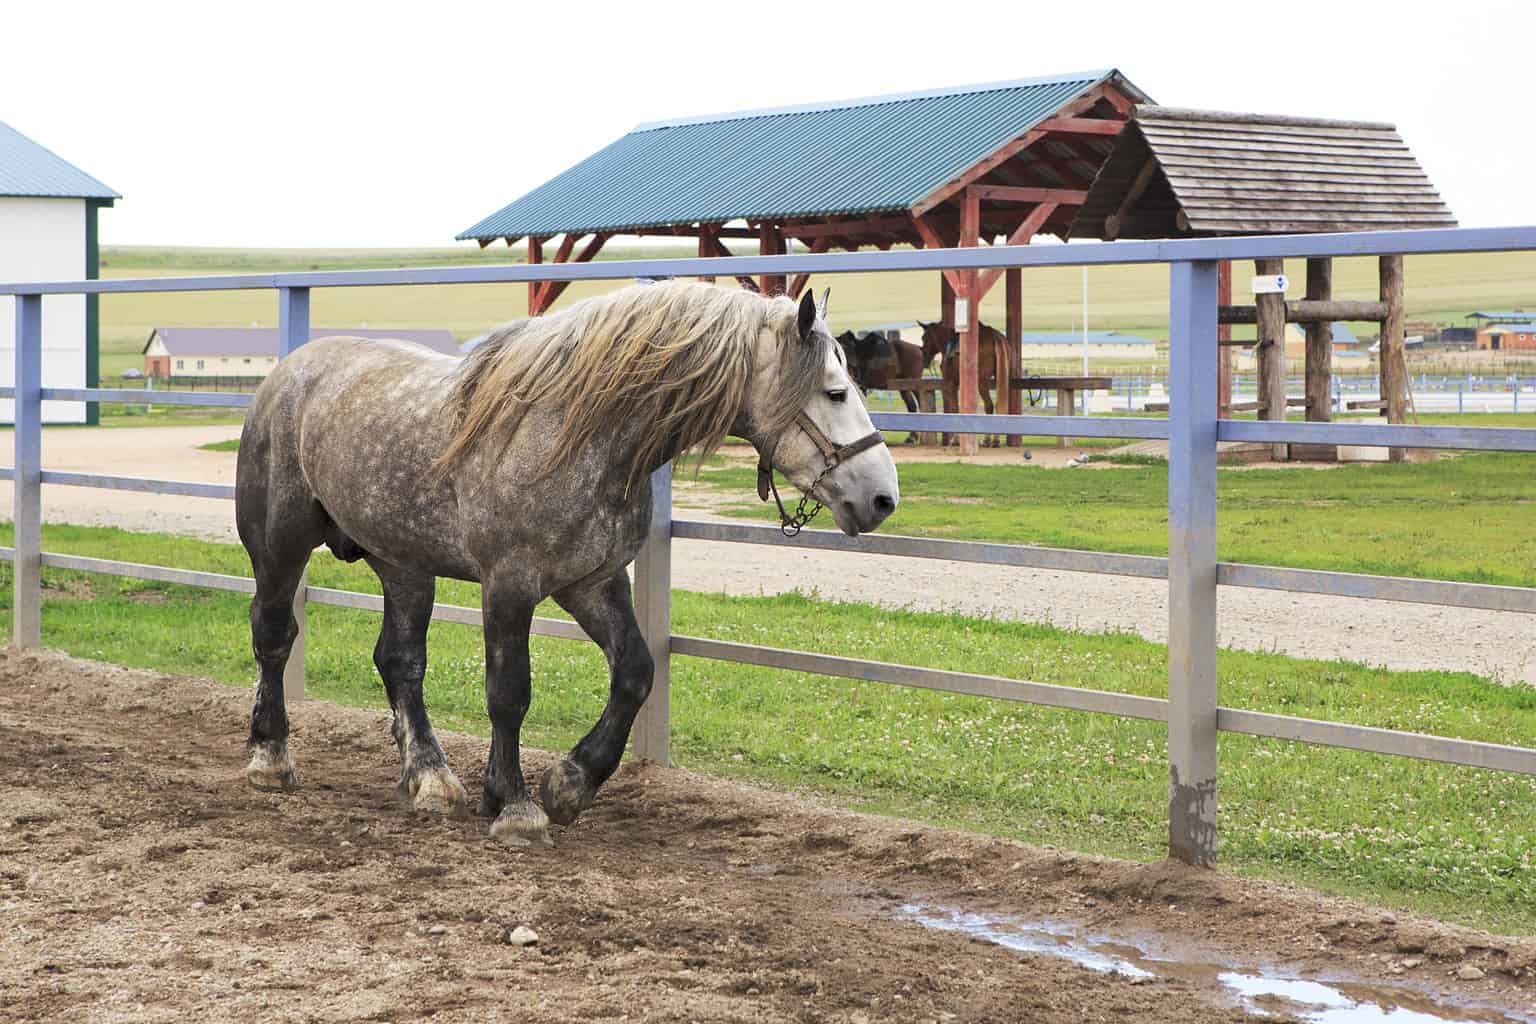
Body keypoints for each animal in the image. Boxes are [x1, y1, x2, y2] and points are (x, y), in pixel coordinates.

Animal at [235, 283, 899, 848]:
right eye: (835, 392)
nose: (881, 498)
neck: (577, 436)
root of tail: (288, 373)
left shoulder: (593, 584)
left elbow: (635, 673)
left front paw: (570, 783)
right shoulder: (509, 586)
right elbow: (509, 693)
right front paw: (515, 806)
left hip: (404, 566)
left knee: (401, 663)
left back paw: (429, 778)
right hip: (279, 545)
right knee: (274, 636)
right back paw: (271, 757)